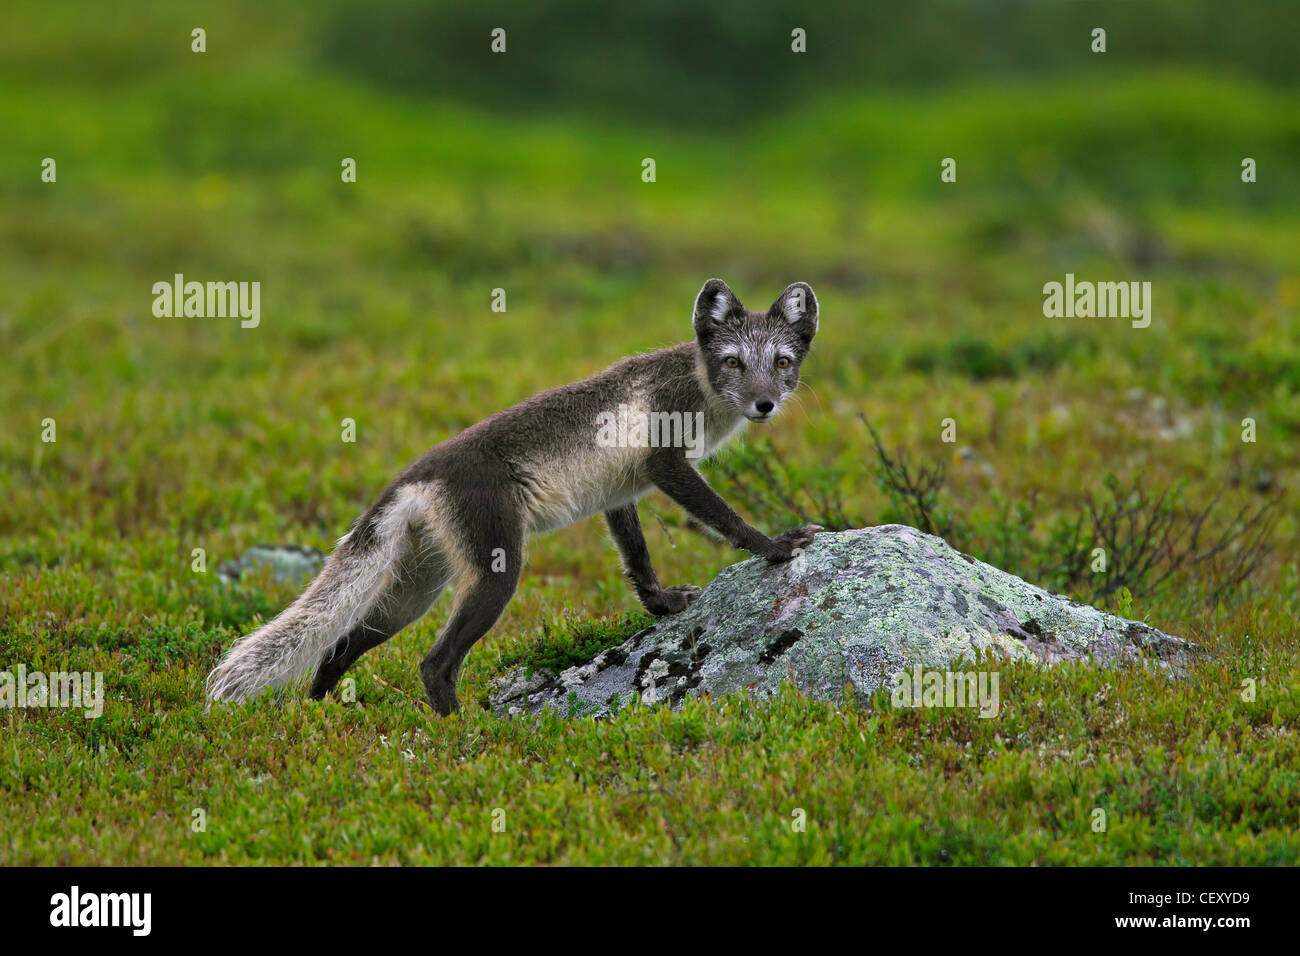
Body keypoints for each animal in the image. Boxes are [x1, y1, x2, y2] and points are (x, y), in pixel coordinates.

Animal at [205, 278, 821, 715]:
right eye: (733, 361)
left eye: (783, 363)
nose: (765, 404)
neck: (699, 383)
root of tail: (415, 475)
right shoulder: (664, 461)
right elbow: (725, 517)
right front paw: (774, 546)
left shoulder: (620, 492)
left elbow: (638, 562)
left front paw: (663, 604)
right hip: (497, 568)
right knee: (434, 663)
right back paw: (465, 729)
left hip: (417, 588)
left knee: (340, 643)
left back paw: (317, 716)